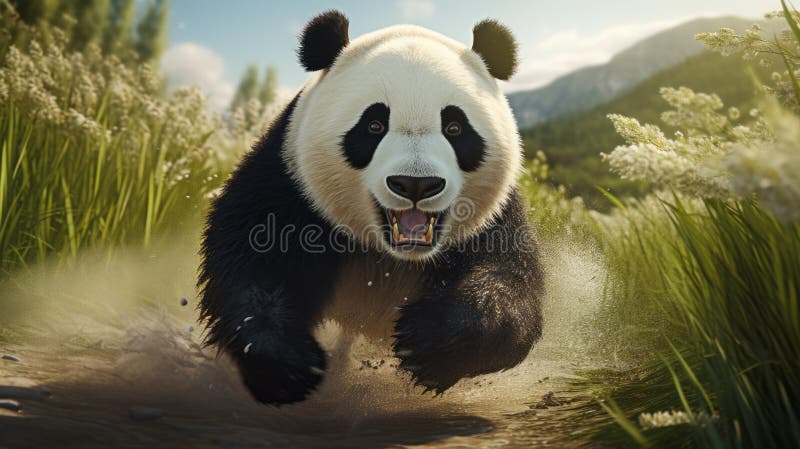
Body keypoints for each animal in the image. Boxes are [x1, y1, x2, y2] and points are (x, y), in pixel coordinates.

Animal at [199, 10, 543, 405]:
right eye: (374, 125)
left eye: (455, 128)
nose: (415, 184)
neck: (392, 255)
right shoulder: (290, 177)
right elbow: (253, 258)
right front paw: (290, 366)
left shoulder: (496, 215)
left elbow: (509, 283)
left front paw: (424, 343)